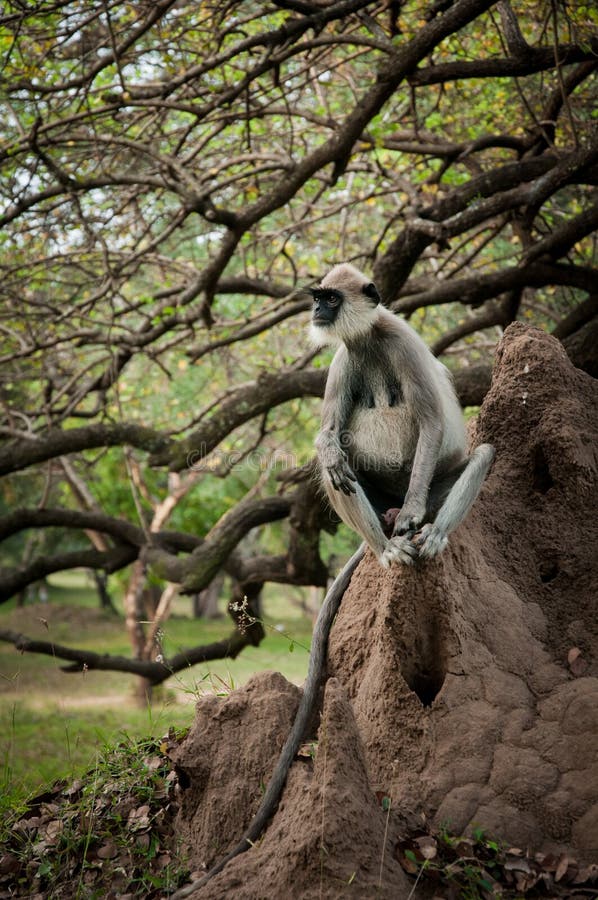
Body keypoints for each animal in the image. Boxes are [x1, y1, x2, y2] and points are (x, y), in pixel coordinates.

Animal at [172, 265, 494, 896]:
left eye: (328, 298)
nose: (317, 312)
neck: (365, 339)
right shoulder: (344, 359)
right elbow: (327, 432)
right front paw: (327, 445)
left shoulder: (399, 342)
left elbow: (431, 421)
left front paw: (418, 511)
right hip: (372, 498)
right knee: (336, 465)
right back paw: (386, 547)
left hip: (435, 486)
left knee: (480, 450)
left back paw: (423, 533)